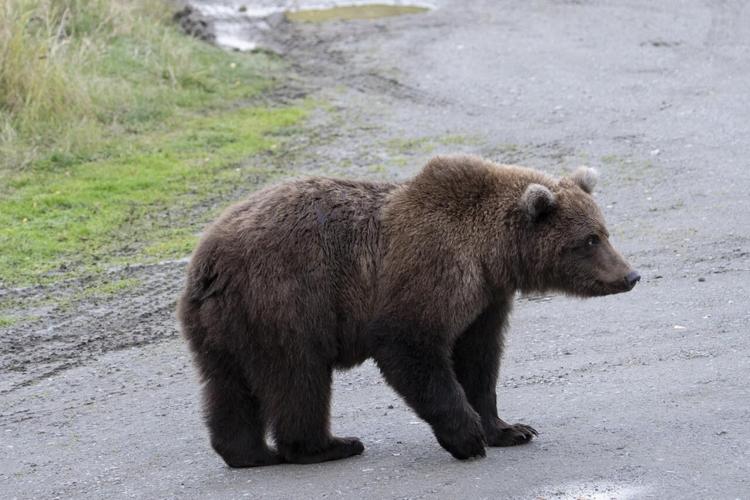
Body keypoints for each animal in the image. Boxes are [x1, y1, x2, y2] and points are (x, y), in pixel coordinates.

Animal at [177, 155, 640, 467]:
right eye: (589, 240)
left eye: (604, 232)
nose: (630, 275)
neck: (491, 255)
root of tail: (206, 262)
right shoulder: (433, 268)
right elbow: (409, 344)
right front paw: (468, 436)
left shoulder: (486, 298)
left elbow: (479, 360)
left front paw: (510, 428)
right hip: (286, 302)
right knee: (298, 378)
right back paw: (327, 445)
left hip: (225, 325)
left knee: (227, 385)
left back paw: (247, 452)